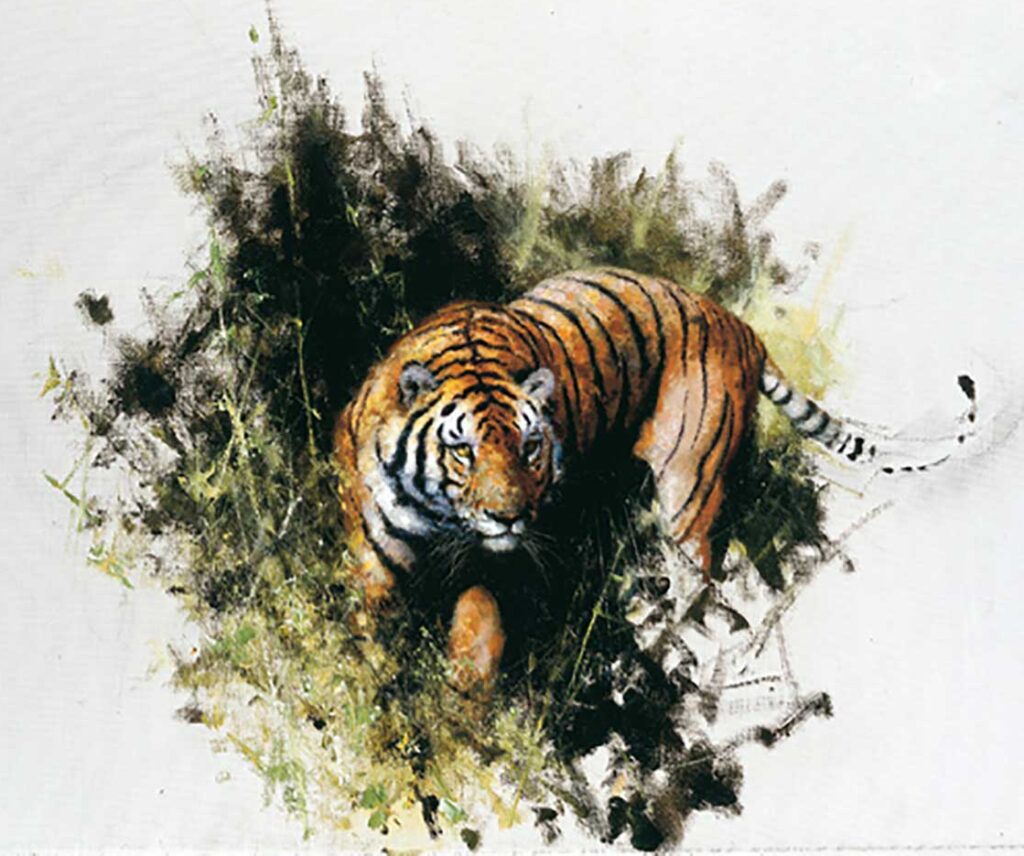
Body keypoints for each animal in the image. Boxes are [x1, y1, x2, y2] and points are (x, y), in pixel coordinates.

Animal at [332, 267, 961, 696]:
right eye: (463, 451)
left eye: (529, 448)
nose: (510, 517)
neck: (441, 515)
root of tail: (743, 328)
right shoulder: (376, 550)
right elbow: (366, 628)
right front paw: (368, 694)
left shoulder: (496, 567)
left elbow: (476, 637)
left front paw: (463, 719)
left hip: (689, 487)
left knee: (695, 581)